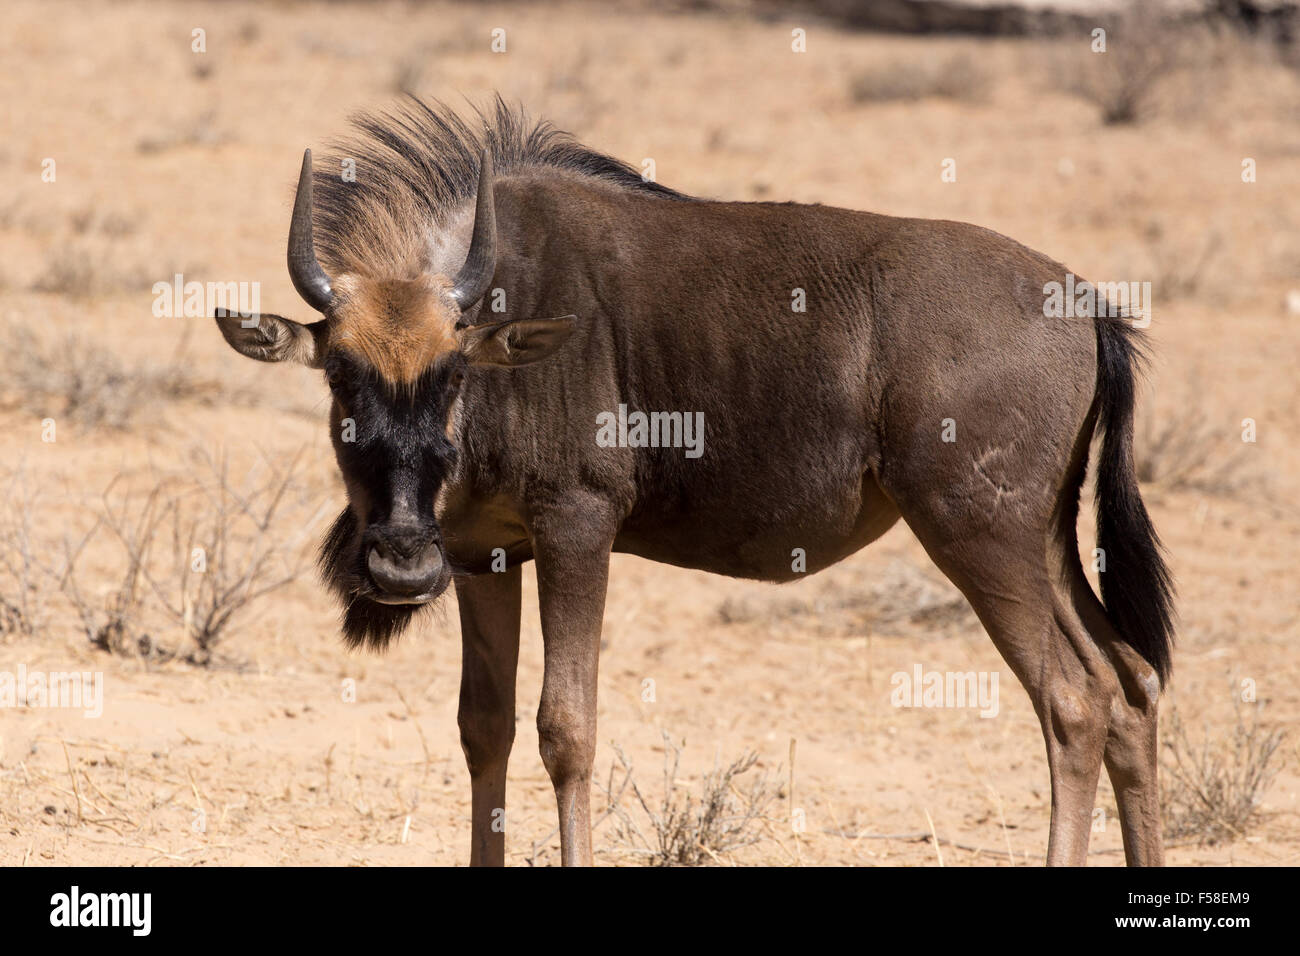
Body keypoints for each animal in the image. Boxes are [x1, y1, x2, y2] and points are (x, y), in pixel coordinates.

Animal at [216, 97, 1174, 866]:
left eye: (452, 375)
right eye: (341, 378)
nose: (401, 565)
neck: (508, 314)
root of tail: (1089, 305)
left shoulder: (576, 527)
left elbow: (566, 729)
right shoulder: (485, 555)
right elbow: (483, 726)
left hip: (979, 538)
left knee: (1074, 702)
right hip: (1040, 543)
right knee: (1130, 686)